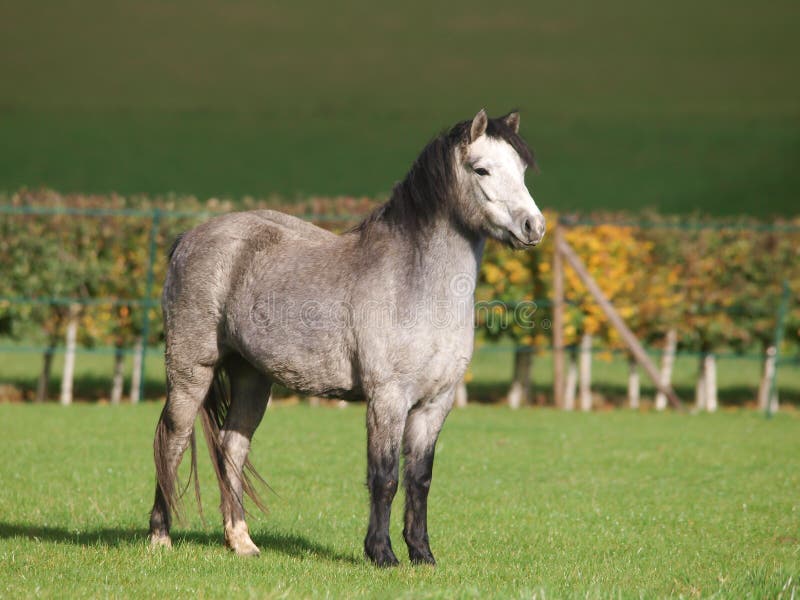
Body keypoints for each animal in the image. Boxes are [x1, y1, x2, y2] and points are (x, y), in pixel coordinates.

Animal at [148, 109, 545, 566]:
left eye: (522, 169)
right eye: (481, 169)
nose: (534, 226)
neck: (415, 285)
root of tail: (188, 239)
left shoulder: (435, 403)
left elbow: (420, 479)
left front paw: (422, 554)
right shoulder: (387, 398)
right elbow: (385, 477)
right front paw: (382, 554)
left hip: (252, 378)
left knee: (232, 449)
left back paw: (242, 542)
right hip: (191, 370)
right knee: (173, 440)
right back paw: (160, 537)